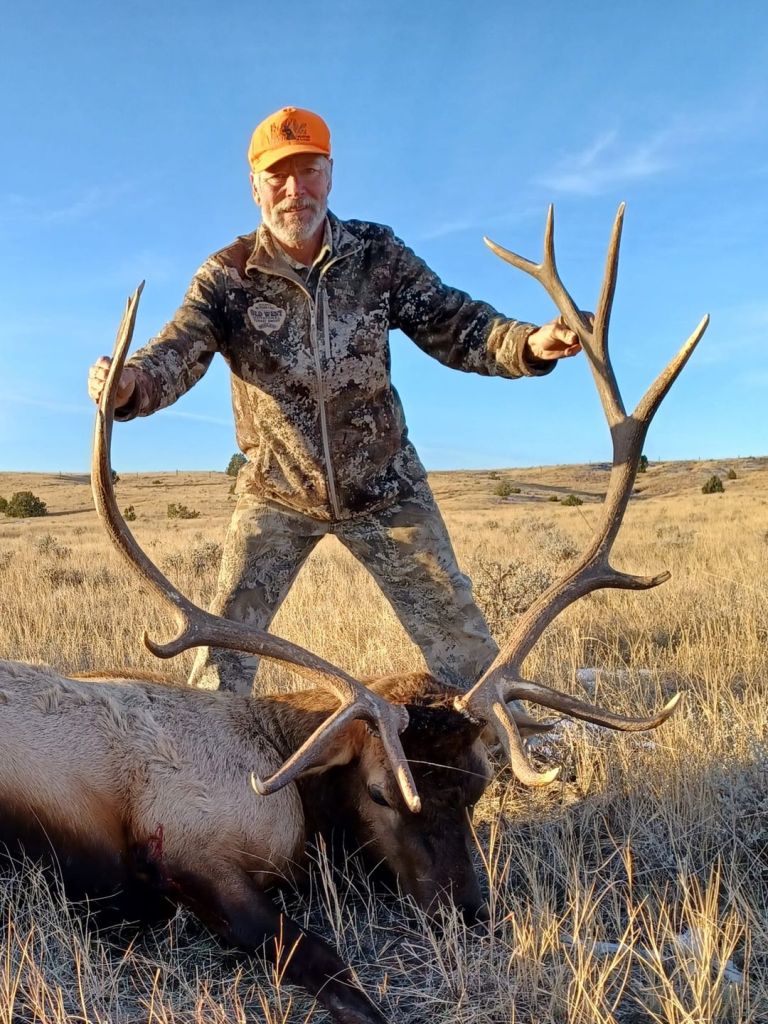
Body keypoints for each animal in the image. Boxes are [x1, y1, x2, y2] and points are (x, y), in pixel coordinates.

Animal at [0, 204, 707, 1024]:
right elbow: (323, 963)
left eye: (478, 784)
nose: (466, 913)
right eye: (379, 791)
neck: (286, 764)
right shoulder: (188, 848)